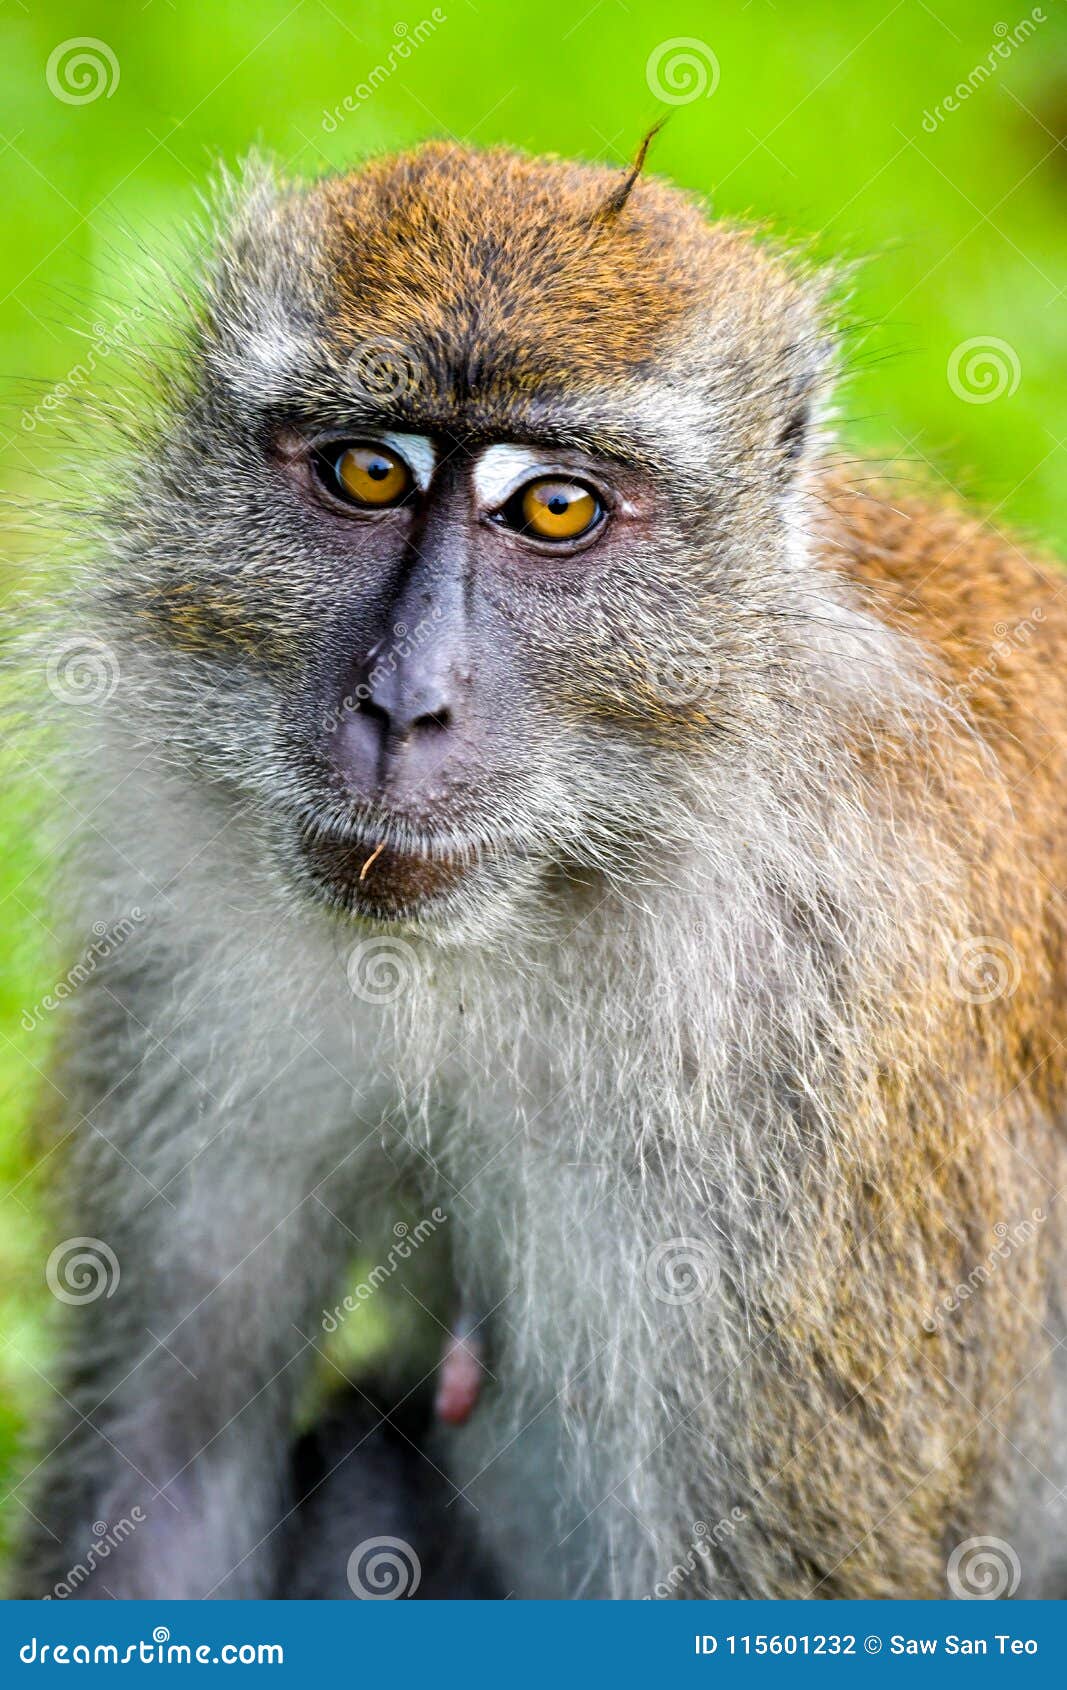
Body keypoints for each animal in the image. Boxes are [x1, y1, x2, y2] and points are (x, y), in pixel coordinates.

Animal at [10, 139, 1067, 1601]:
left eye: (555, 507)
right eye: (368, 473)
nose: (404, 704)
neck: (554, 901)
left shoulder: (812, 1068)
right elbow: (167, 1464)